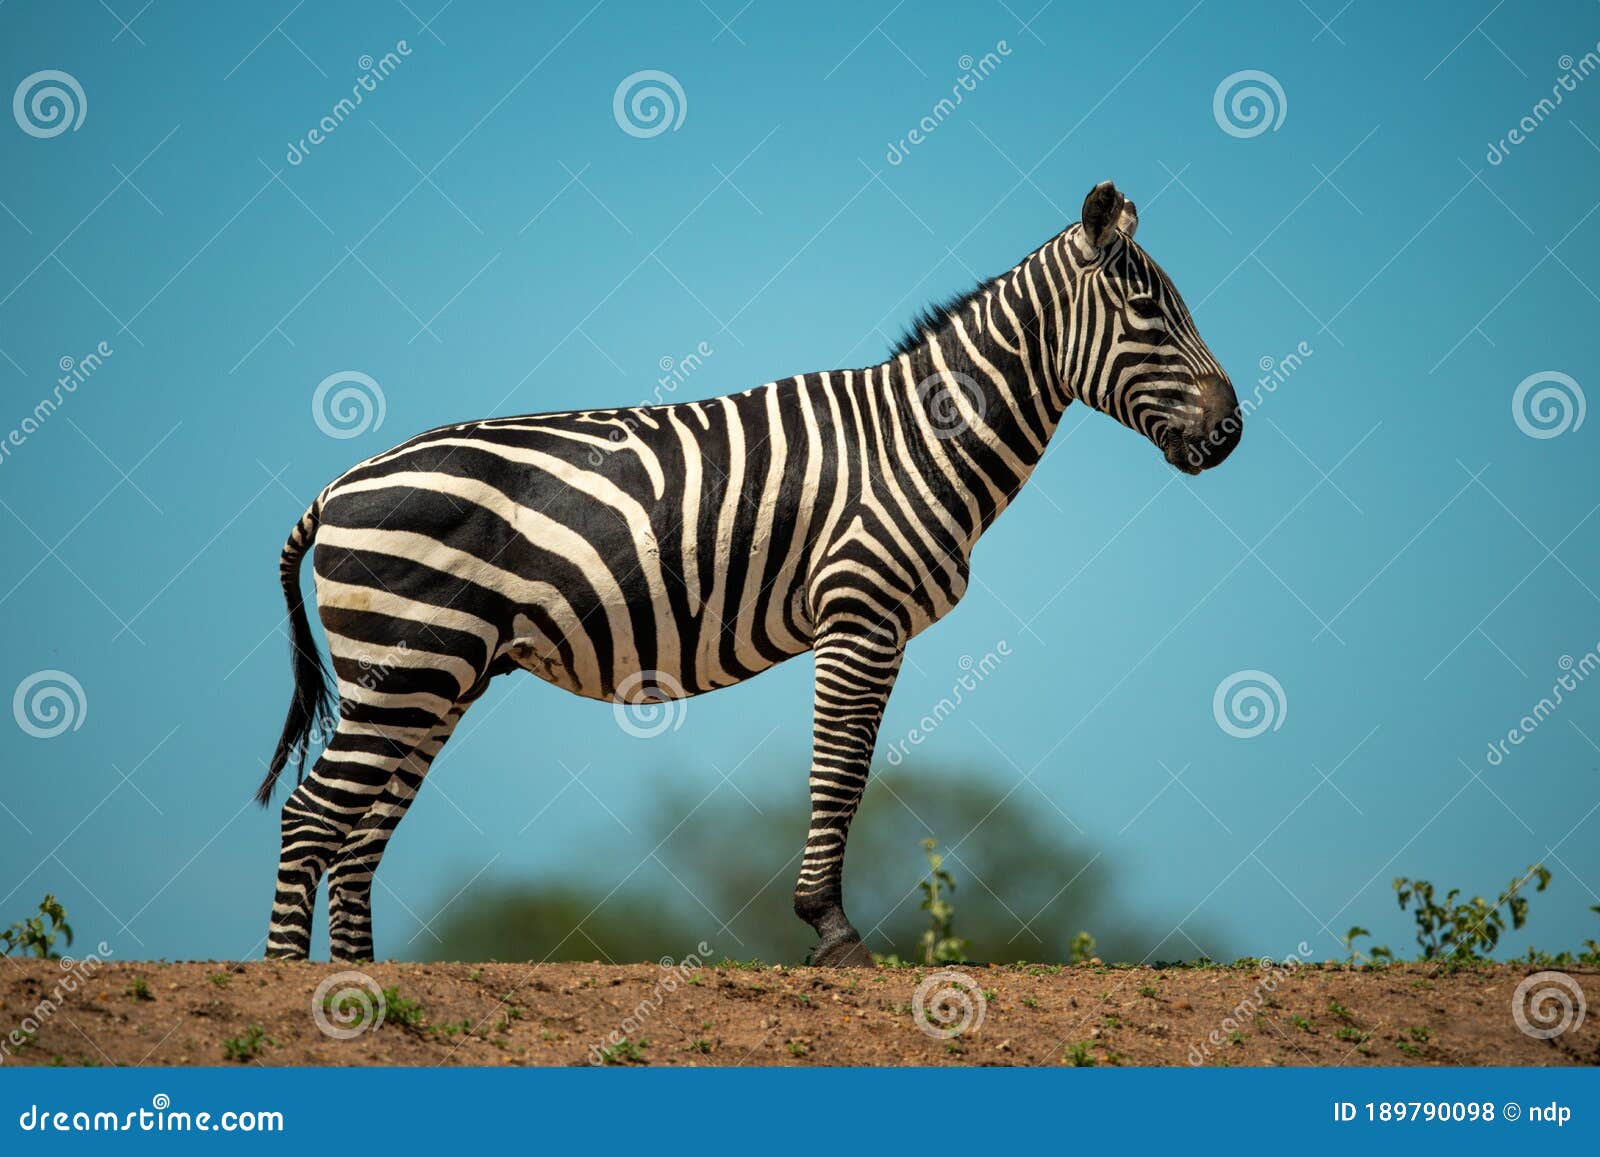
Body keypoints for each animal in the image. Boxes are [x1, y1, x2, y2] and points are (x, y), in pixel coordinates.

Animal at [259, 181, 1242, 964]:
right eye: (1149, 312)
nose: (1233, 431)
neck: (920, 439)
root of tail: (336, 487)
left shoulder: (880, 628)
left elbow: (851, 772)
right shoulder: (859, 614)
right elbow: (839, 771)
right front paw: (834, 935)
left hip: (437, 676)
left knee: (357, 838)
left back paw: (364, 987)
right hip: (407, 664)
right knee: (311, 819)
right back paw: (295, 985)